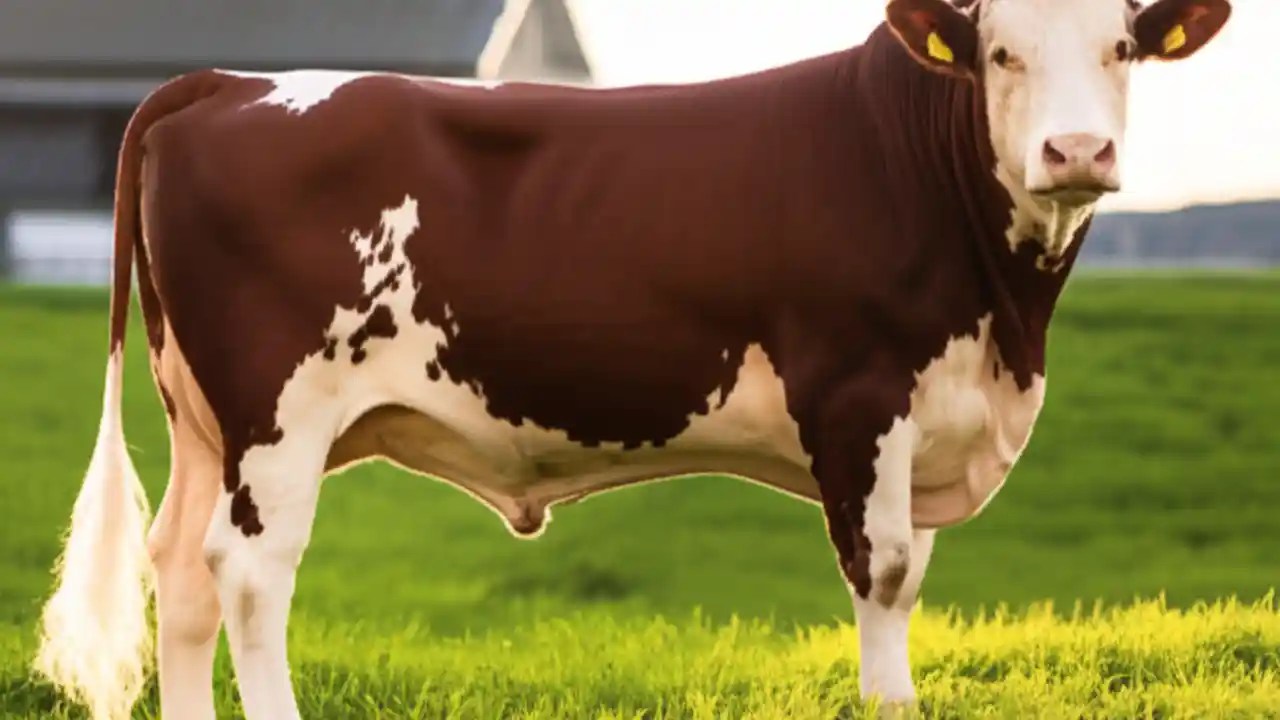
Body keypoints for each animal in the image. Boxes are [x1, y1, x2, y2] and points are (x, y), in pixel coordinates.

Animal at [34, 0, 1230, 717]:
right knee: (248, 572)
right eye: (999, 51)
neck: (1001, 326)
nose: (1076, 151)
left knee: (180, 568)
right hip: (277, 416)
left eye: (1122, 47)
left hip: (206, 423)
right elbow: (885, 569)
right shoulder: (858, 392)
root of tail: (231, 80)